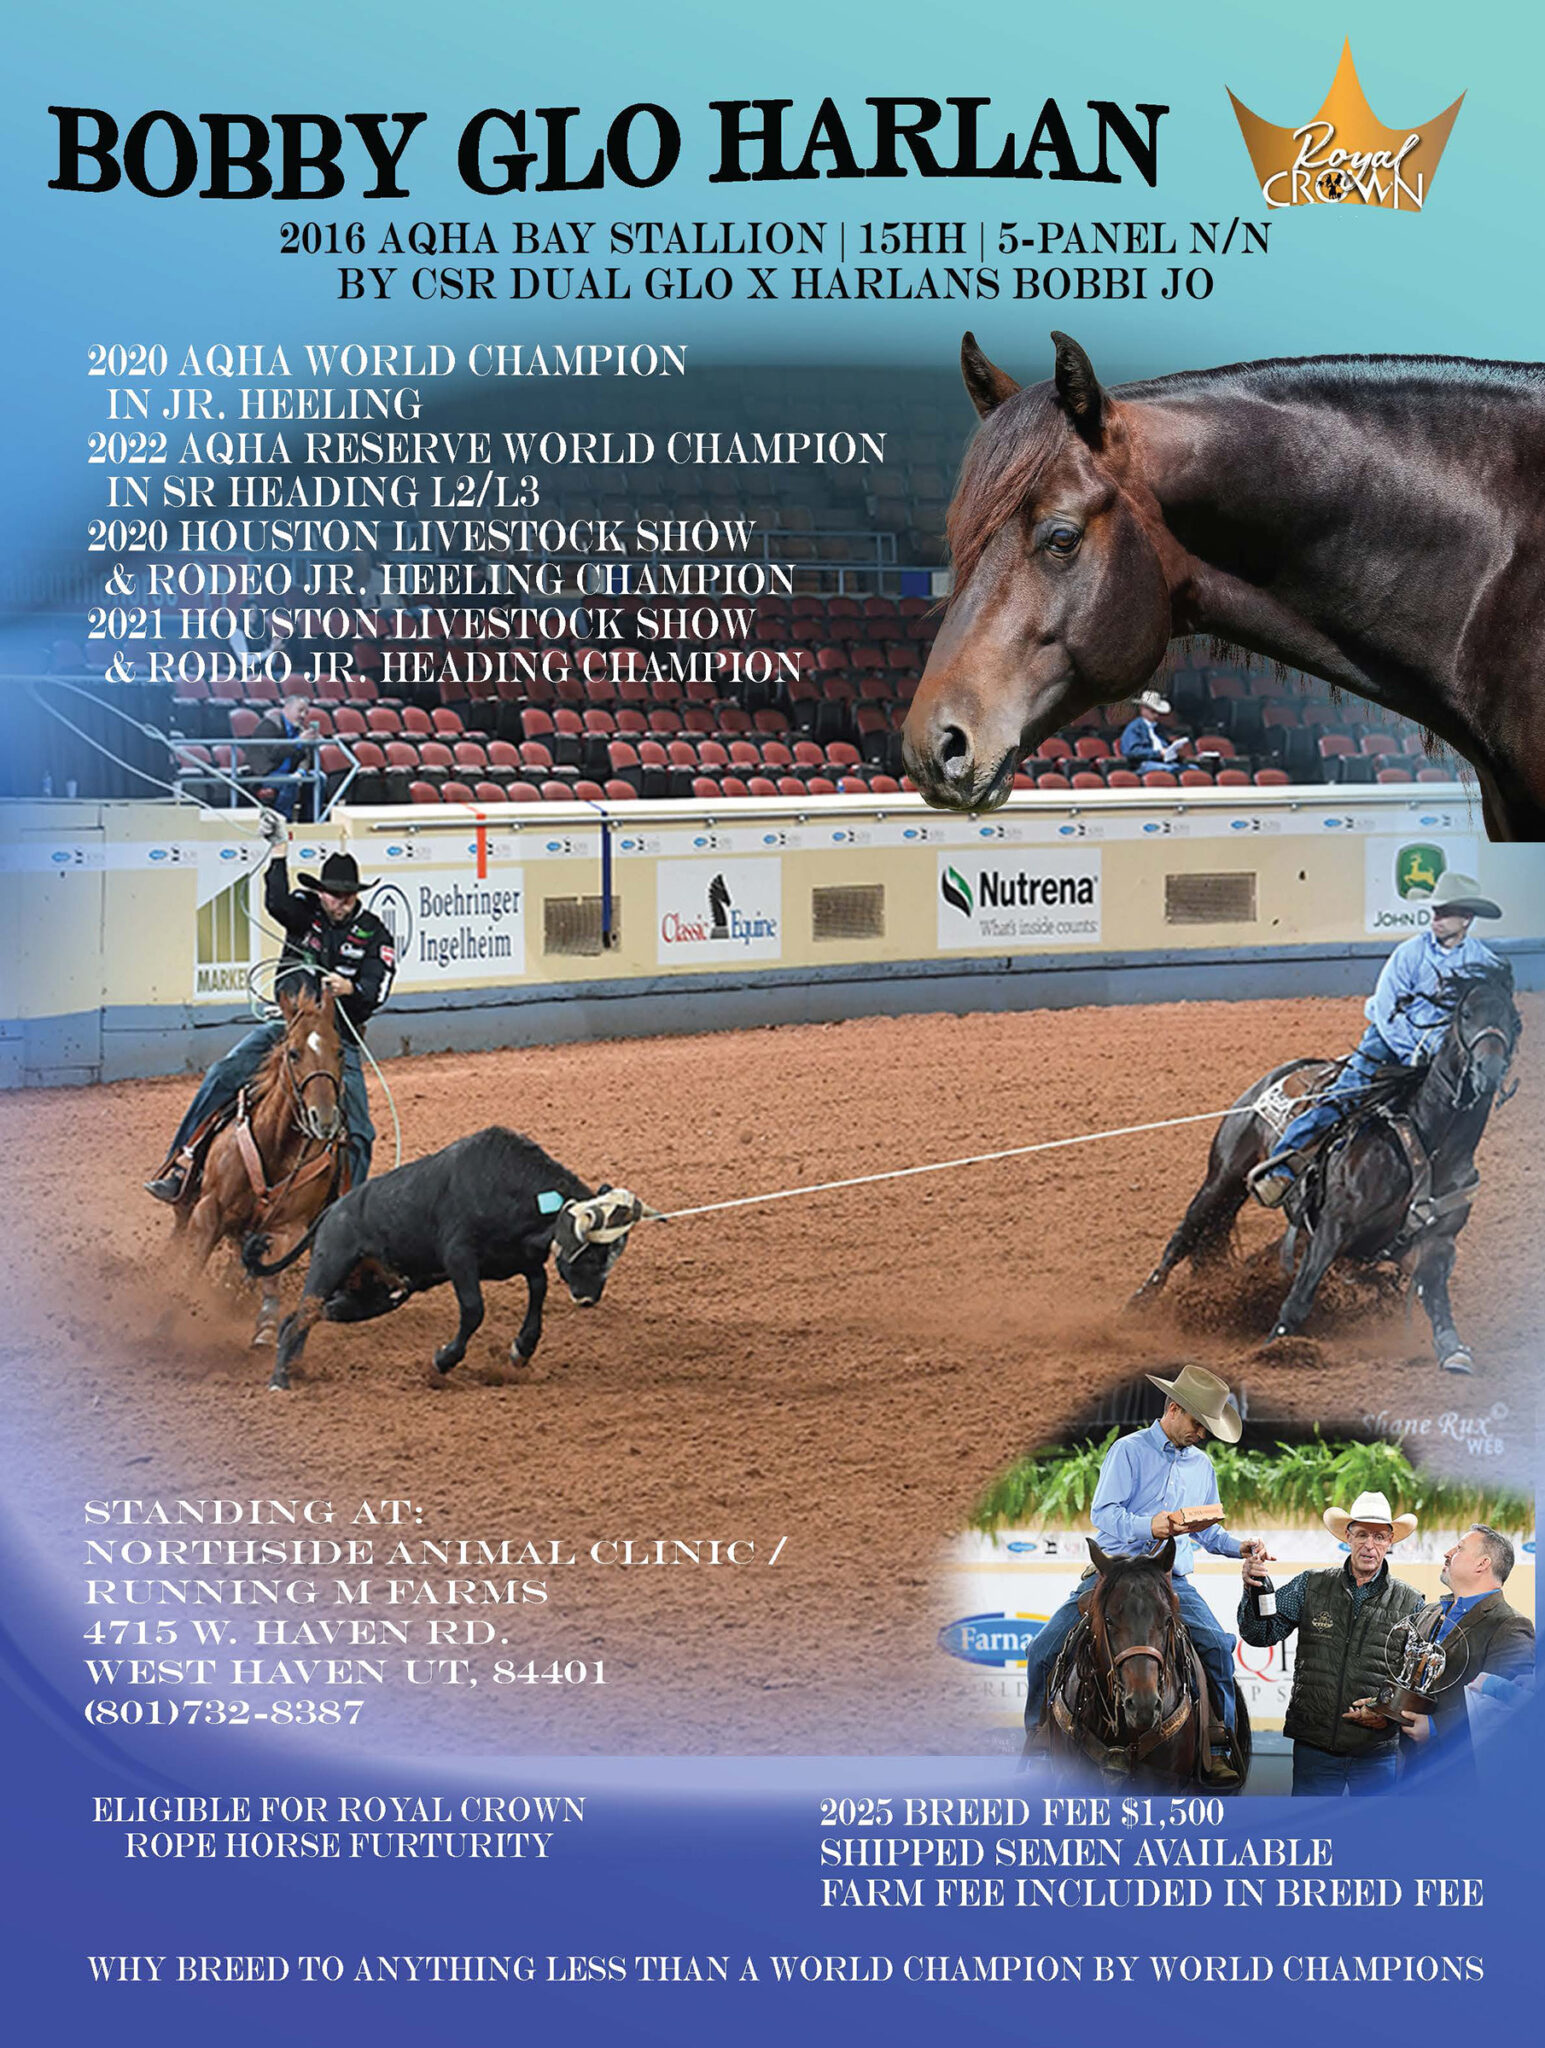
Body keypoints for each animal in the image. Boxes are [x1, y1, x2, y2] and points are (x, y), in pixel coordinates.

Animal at [170, 983, 348, 1344]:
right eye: (293, 1053)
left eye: (339, 1052)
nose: (323, 1119)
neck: (275, 1147)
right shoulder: (209, 1208)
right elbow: (192, 1266)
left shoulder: (288, 1227)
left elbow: (270, 1277)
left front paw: (266, 1325)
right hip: (188, 1202)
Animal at [1133, 963, 1521, 1371]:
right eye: (1466, 1015)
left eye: (1514, 1020)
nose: (1489, 1070)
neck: (1427, 1144)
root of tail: (1280, 1073)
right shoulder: (1335, 1226)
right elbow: (1302, 1294)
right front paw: (1276, 1346)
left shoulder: (1436, 1241)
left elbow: (1435, 1297)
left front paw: (1453, 1349)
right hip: (1223, 1178)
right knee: (1185, 1234)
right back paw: (1139, 1304)